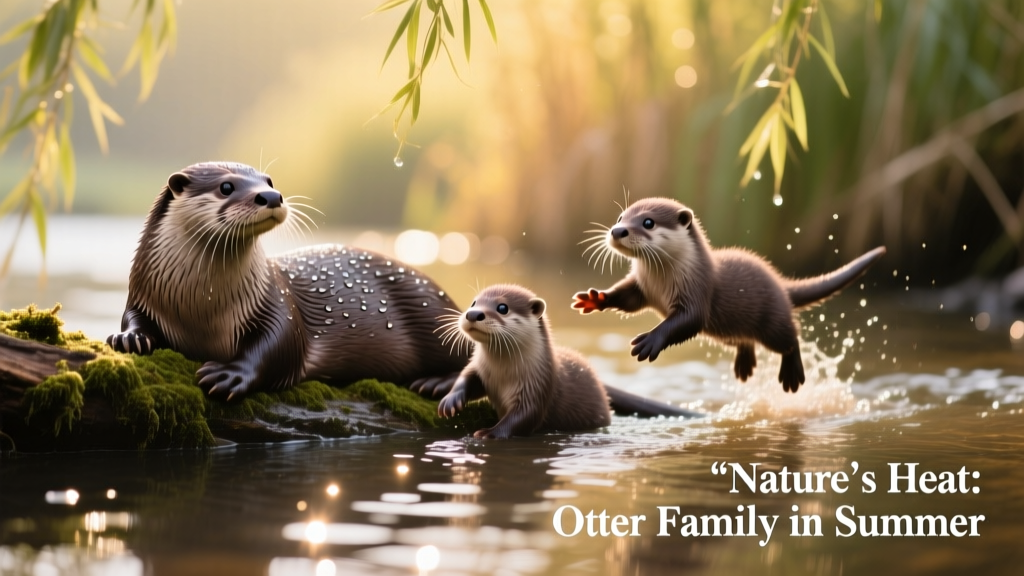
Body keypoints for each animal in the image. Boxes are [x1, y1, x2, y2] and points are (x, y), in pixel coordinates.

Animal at [106, 162, 468, 398]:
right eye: (226, 186)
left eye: (269, 180)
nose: (272, 196)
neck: (201, 308)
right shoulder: (142, 293)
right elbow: (131, 316)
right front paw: (130, 338)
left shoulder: (274, 301)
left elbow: (280, 344)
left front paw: (230, 374)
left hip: (430, 313)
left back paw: (436, 383)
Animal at [436, 284, 699, 439]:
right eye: (473, 302)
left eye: (502, 307)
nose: (472, 314)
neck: (503, 374)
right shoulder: (482, 370)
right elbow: (467, 377)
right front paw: (451, 400)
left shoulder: (538, 385)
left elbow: (524, 417)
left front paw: (489, 433)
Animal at [572, 197, 885, 393]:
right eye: (620, 217)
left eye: (648, 222)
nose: (617, 230)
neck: (661, 283)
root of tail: (780, 284)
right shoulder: (642, 287)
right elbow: (627, 299)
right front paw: (595, 298)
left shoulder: (697, 291)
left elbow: (687, 320)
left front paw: (650, 340)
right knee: (746, 340)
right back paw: (744, 365)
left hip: (772, 321)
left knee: (790, 337)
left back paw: (791, 374)